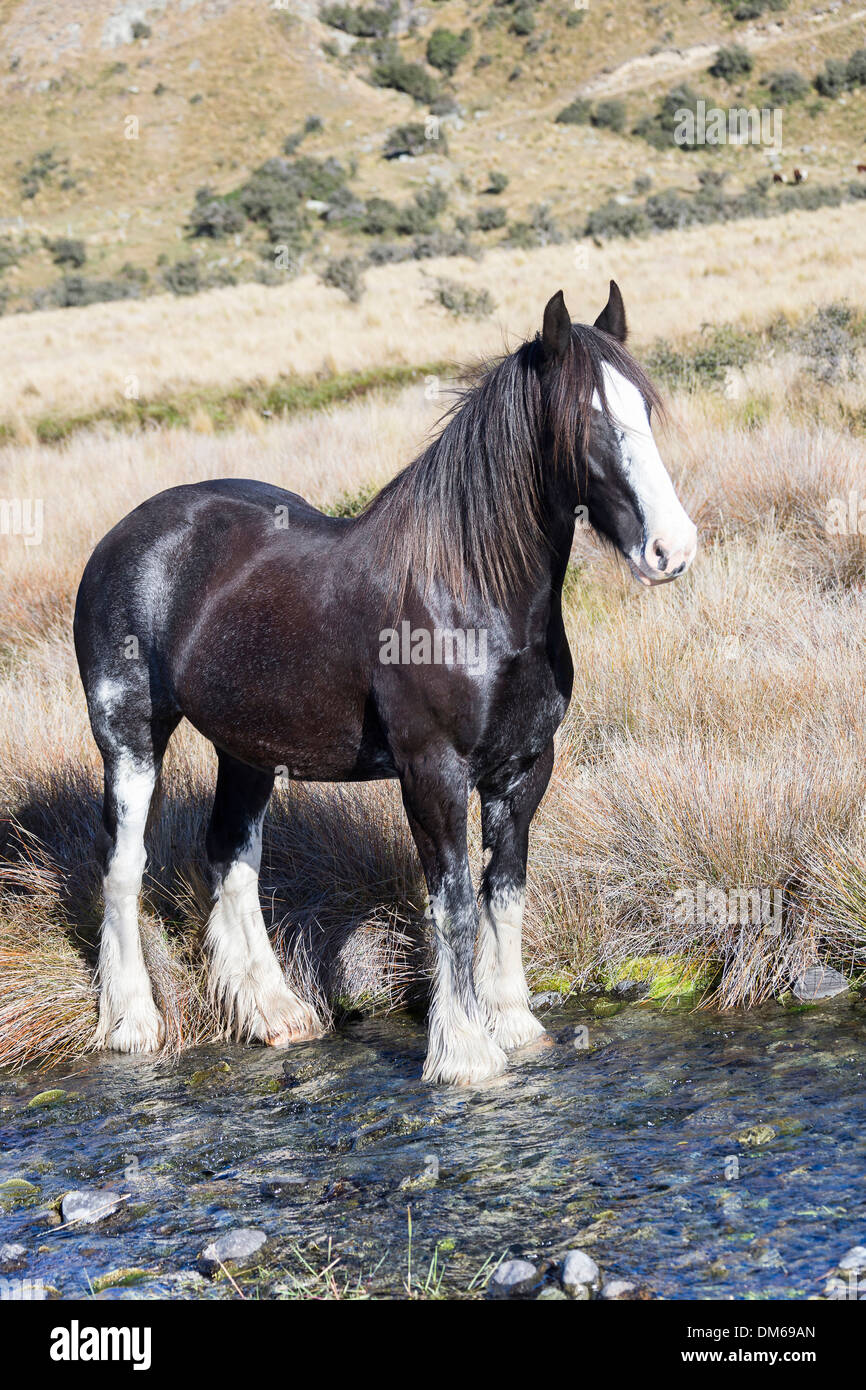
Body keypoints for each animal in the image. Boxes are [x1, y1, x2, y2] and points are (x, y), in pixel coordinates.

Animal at [73, 281, 697, 1086]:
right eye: (584, 420)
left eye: (643, 410)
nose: (671, 549)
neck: (469, 594)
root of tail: (124, 537)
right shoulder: (432, 774)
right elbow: (453, 905)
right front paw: (464, 1052)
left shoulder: (524, 771)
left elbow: (504, 895)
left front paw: (516, 1025)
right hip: (129, 739)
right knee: (124, 869)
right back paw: (131, 1024)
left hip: (247, 751)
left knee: (232, 859)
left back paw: (276, 1014)